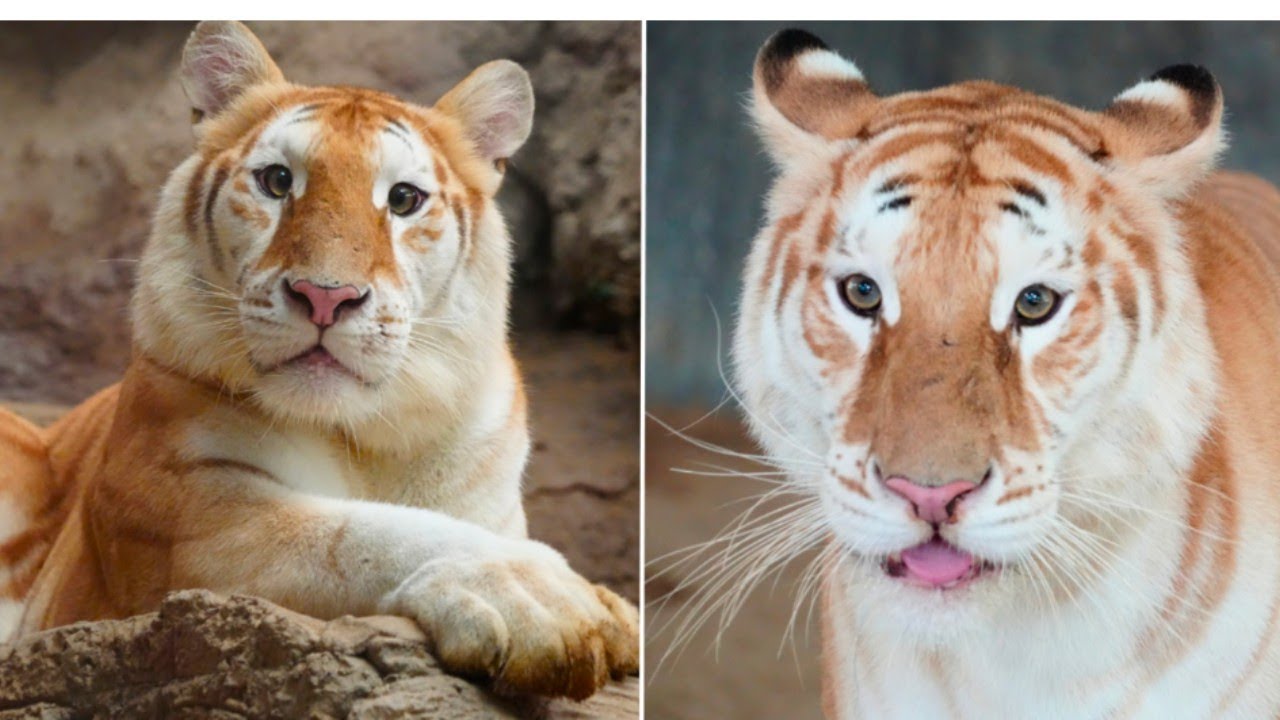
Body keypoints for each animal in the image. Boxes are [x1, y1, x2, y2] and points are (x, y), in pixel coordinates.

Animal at [0, 20, 637, 701]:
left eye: (404, 199)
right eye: (278, 182)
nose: (326, 296)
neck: (369, 436)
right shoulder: (184, 514)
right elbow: (361, 533)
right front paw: (545, 601)